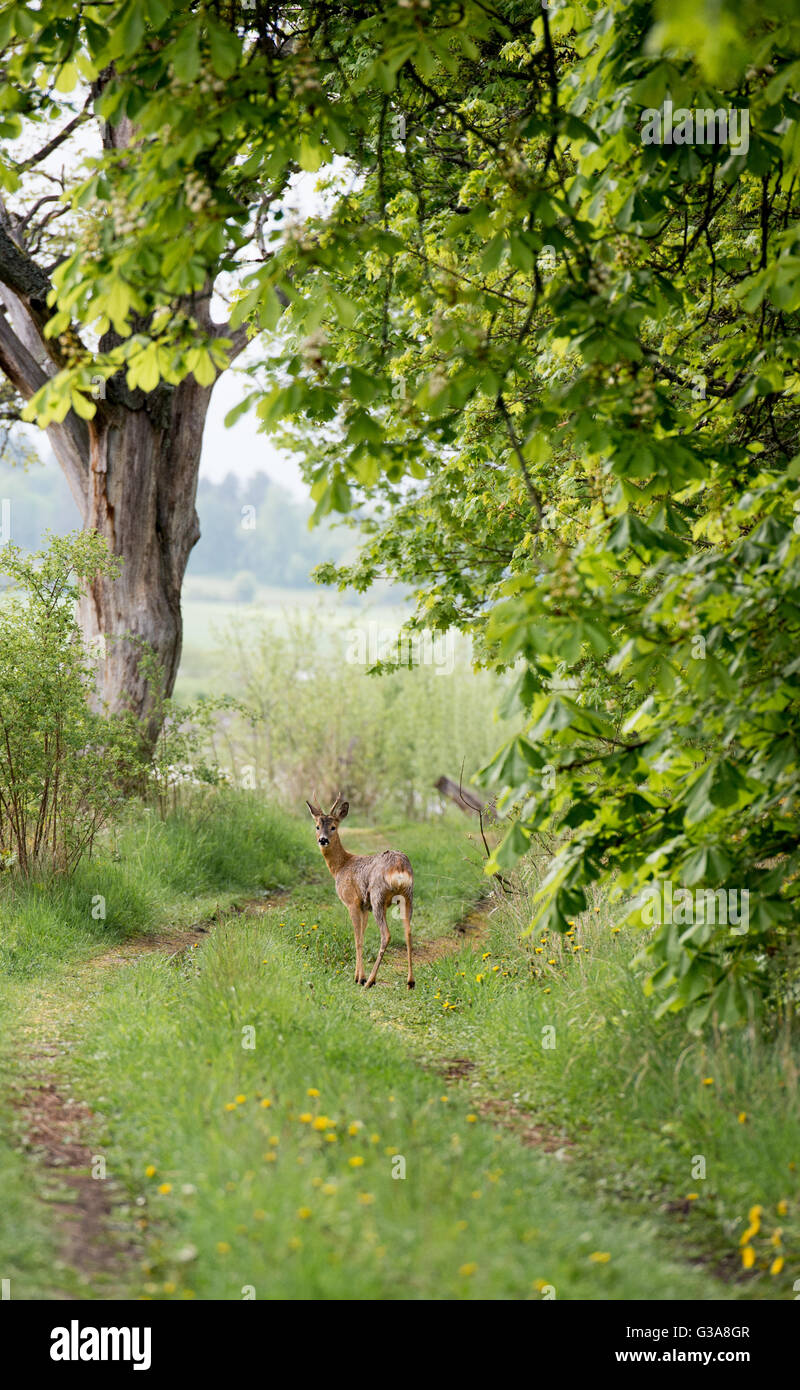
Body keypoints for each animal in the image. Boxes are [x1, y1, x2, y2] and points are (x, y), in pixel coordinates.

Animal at [305, 794, 415, 989]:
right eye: (317, 826)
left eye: (333, 827)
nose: (323, 840)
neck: (341, 866)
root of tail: (399, 867)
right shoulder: (364, 907)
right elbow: (362, 936)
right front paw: (357, 975)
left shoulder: (352, 902)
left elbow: (357, 939)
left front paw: (359, 978)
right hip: (408, 895)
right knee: (408, 932)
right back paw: (410, 982)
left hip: (379, 897)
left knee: (386, 935)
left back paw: (370, 981)